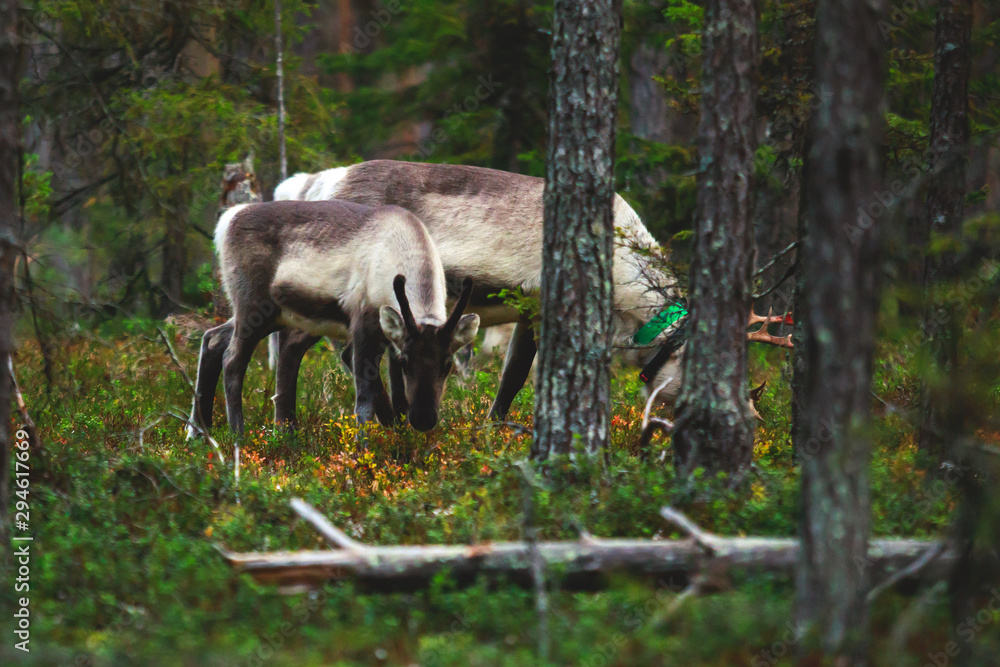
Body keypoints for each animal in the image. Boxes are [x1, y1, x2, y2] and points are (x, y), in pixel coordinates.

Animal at [193, 198, 479, 436]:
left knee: (212, 339)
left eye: (447, 364)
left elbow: (394, 397)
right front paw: (365, 448)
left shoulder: (390, 336)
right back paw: (237, 435)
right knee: (232, 360)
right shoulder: (363, 326)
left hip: (273, 315)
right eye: (407, 362)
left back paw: (198, 433)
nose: (423, 420)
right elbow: (364, 403)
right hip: (252, 307)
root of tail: (228, 219)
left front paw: (397, 436)